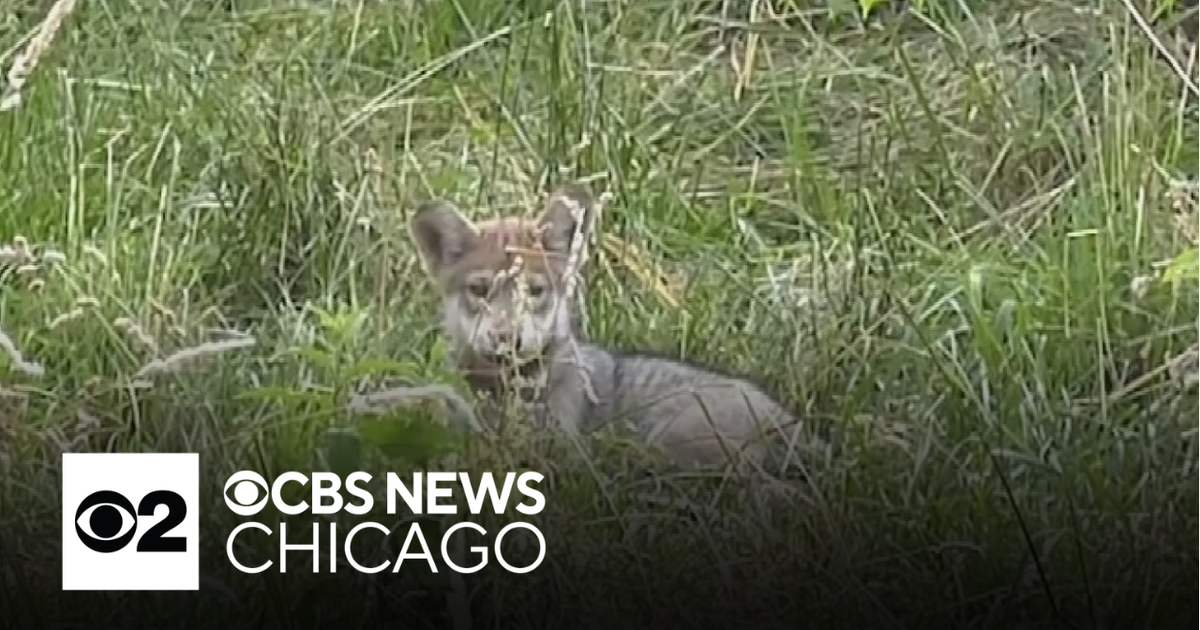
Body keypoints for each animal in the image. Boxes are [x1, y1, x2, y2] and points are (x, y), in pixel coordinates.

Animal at [408, 185, 803, 472]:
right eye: (478, 289)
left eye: (535, 290)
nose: (507, 339)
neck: (504, 396)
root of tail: (787, 422)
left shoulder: (561, 455)